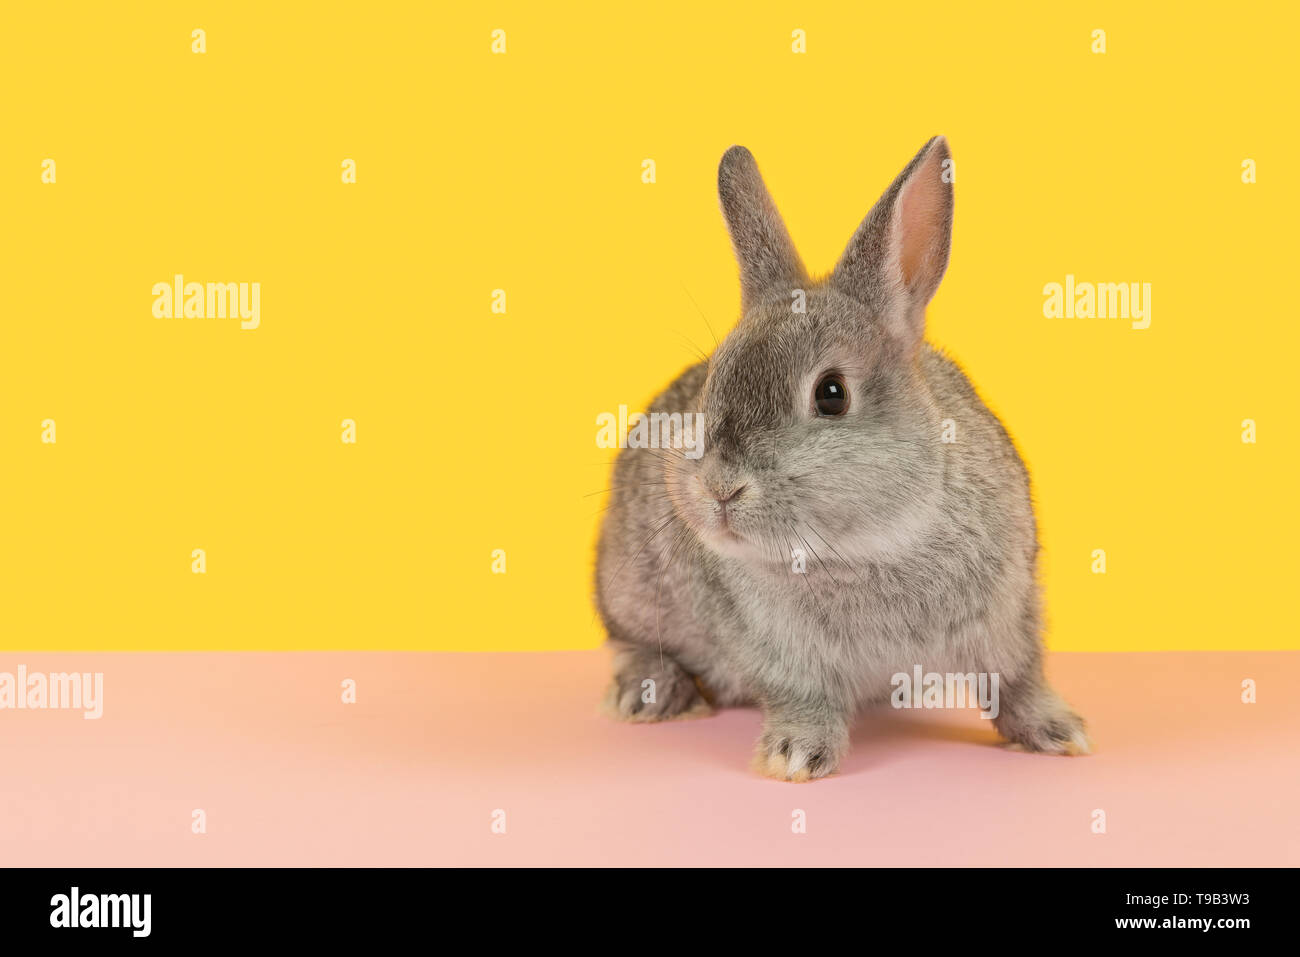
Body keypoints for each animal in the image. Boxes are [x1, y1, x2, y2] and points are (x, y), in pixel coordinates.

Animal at [594, 137, 1089, 781]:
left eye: (831, 393)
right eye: (712, 384)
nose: (719, 487)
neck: (869, 547)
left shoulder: (1011, 617)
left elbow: (1018, 682)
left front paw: (1059, 733)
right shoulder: (784, 654)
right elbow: (805, 700)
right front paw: (793, 758)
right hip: (629, 589)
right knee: (627, 639)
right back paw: (647, 694)